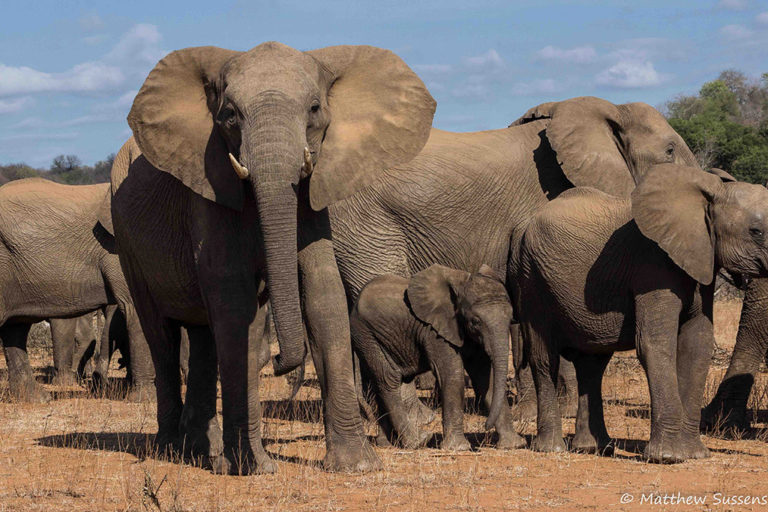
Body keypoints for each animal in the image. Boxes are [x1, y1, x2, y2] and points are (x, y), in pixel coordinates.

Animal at [104, 42, 435, 474]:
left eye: (314, 108)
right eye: (229, 114)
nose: (278, 359)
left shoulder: (314, 193)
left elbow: (321, 291)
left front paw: (357, 465)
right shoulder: (209, 185)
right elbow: (234, 301)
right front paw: (252, 468)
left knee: (203, 336)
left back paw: (202, 451)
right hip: (127, 241)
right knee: (161, 333)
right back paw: (171, 450)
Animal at [351, 264, 525, 450]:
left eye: (510, 319)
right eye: (475, 322)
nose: (485, 426)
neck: (461, 285)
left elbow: (487, 378)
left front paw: (513, 445)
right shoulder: (434, 332)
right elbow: (452, 376)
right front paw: (458, 448)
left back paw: (388, 444)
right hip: (367, 336)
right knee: (389, 380)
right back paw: (419, 440)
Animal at [511, 164, 768, 463]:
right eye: (756, 231)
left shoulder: (701, 263)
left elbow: (698, 344)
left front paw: (695, 455)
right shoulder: (652, 265)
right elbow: (655, 344)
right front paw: (667, 457)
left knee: (592, 364)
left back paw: (593, 448)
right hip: (531, 279)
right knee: (544, 357)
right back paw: (552, 448)